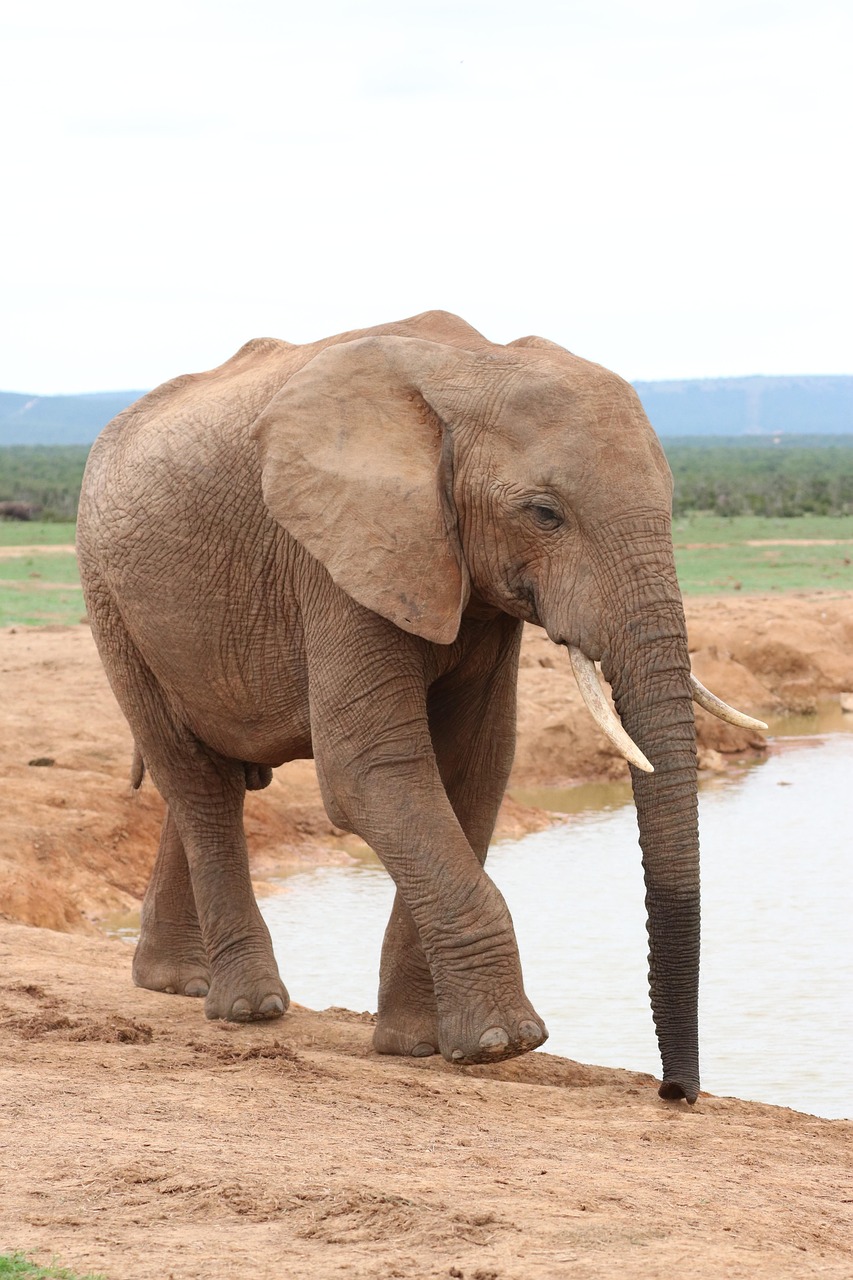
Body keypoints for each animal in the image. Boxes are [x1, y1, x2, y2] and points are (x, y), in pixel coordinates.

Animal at [76, 309, 763, 1103]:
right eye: (544, 514)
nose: (673, 1092)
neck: (473, 369)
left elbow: (473, 770)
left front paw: (418, 1046)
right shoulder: (339, 556)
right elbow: (374, 773)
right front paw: (502, 1044)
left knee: (212, 774)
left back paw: (172, 983)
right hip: (109, 595)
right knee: (197, 778)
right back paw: (248, 1008)